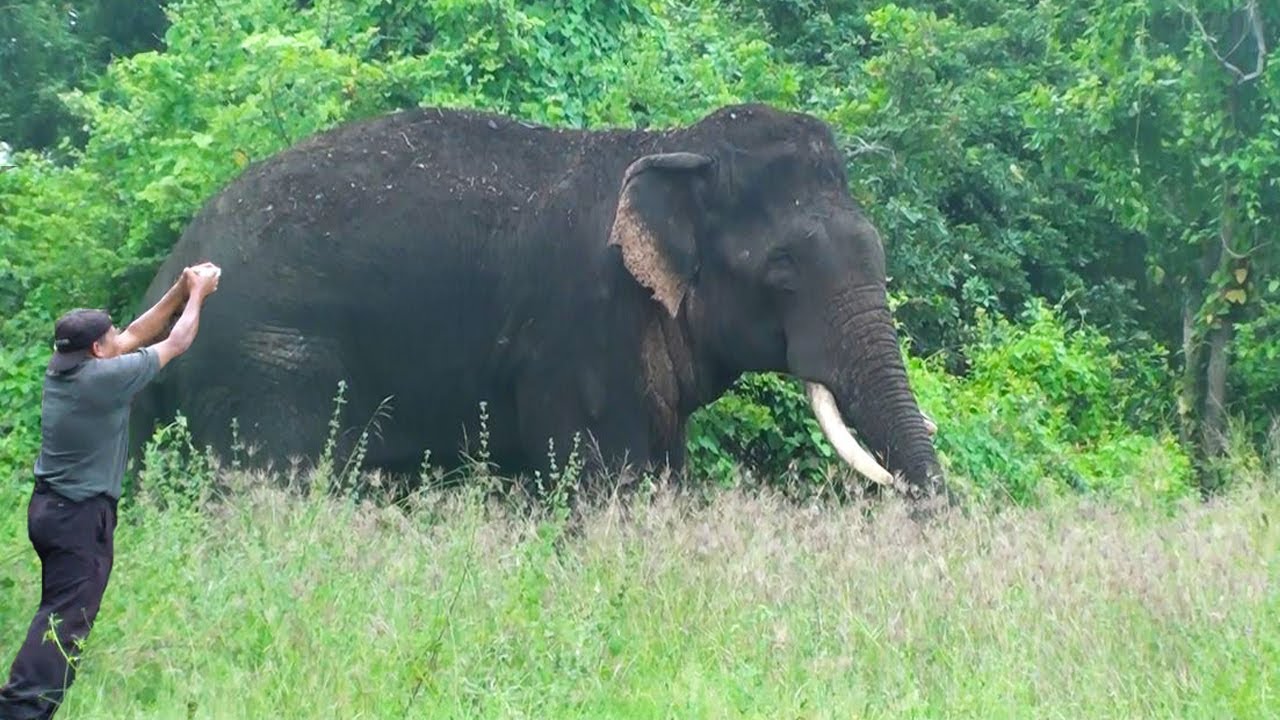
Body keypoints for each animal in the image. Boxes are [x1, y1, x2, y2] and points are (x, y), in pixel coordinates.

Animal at [127, 103, 948, 504]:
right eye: (782, 270)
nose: (935, 506)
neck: (665, 144)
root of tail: (165, 281)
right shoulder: (579, 330)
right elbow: (602, 482)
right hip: (264, 362)